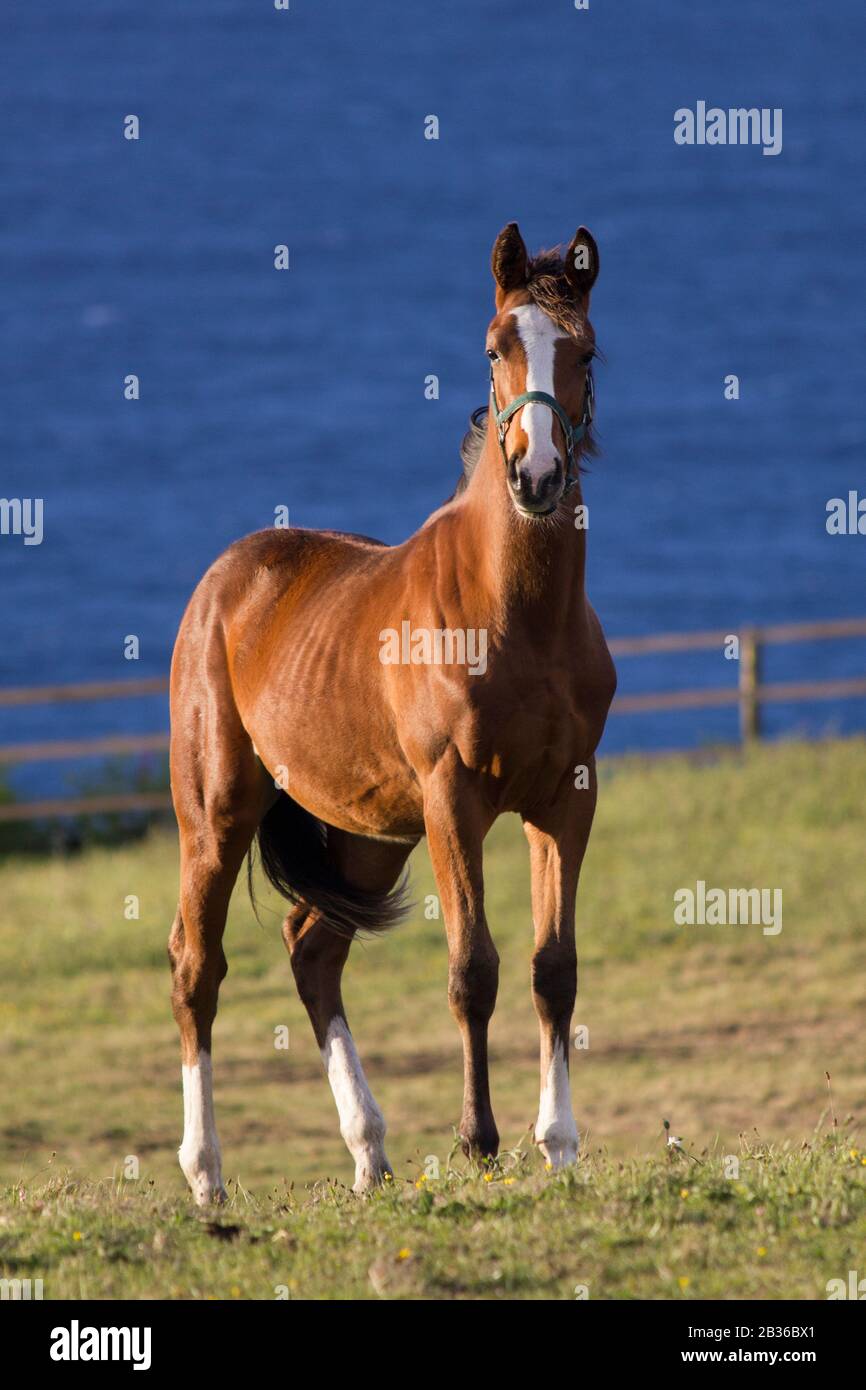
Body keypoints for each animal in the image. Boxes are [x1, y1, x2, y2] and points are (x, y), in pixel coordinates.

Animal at [167, 221, 616, 1203]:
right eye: (494, 347)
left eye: (587, 351)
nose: (537, 475)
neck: (514, 614)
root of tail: (224, 580)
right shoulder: (455, 801)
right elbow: (473, 970)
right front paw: (479, 1142)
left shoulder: (567, 798)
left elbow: (554, 968)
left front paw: (561, 1144)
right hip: (217, 814)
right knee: (196, 965)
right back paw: (207, 1173)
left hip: (370, 835)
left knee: (311, 949)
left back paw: (370, 1152)